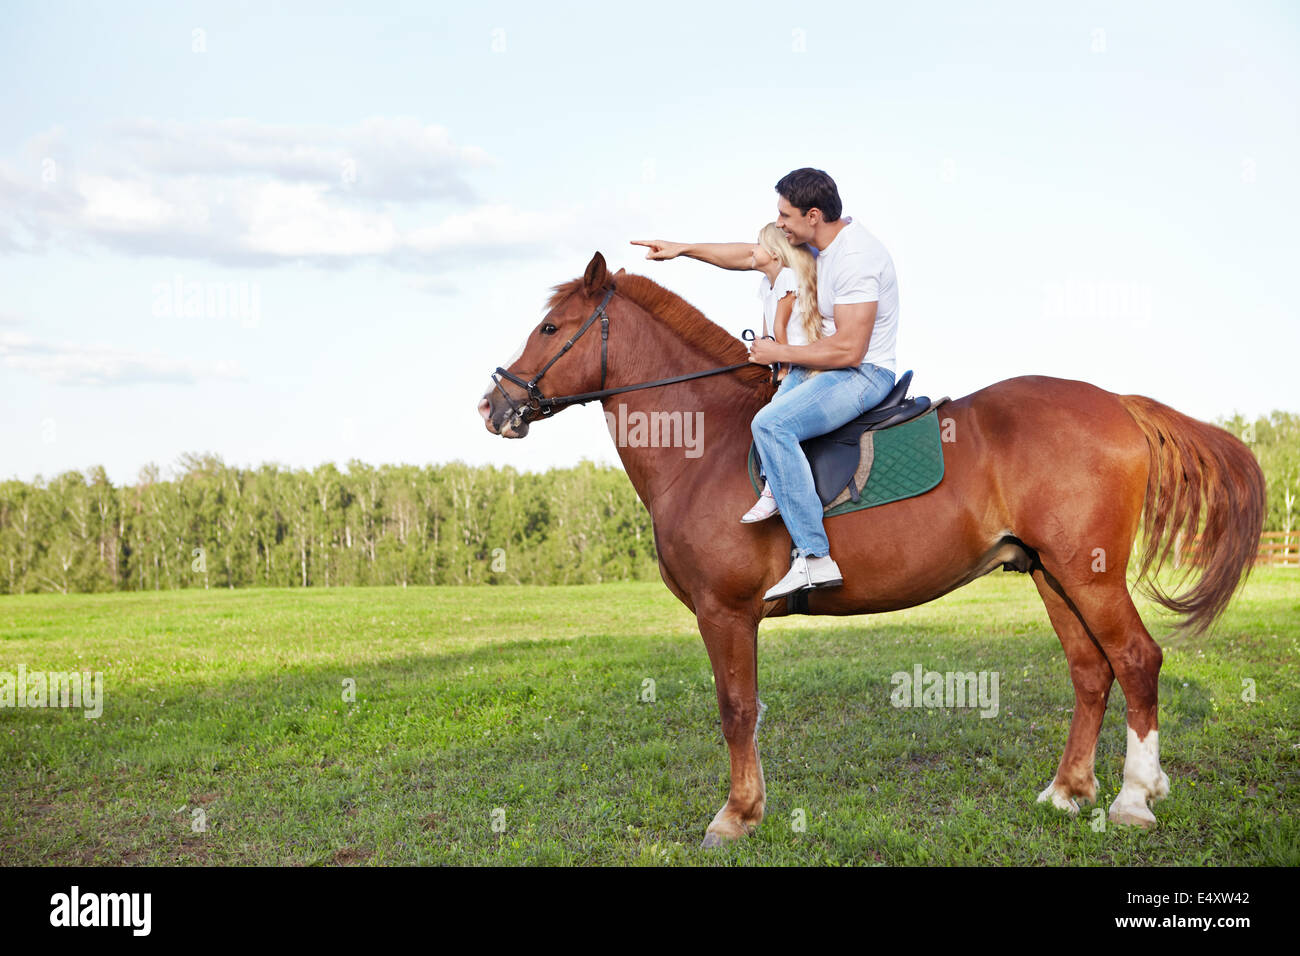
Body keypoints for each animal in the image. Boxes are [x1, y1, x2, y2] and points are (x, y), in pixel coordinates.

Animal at [476, 251, 1266, 847]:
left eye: (551, 326)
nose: (494, 405)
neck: (708, 445)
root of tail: (1118, 404)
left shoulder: (724, 612)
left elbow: (736, 708)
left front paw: (736, 816)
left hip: (1087, 574)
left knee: (1135, 660)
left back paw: (1134, 800)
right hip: (1053, 574)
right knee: (1090, 671)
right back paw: (1067, 792)